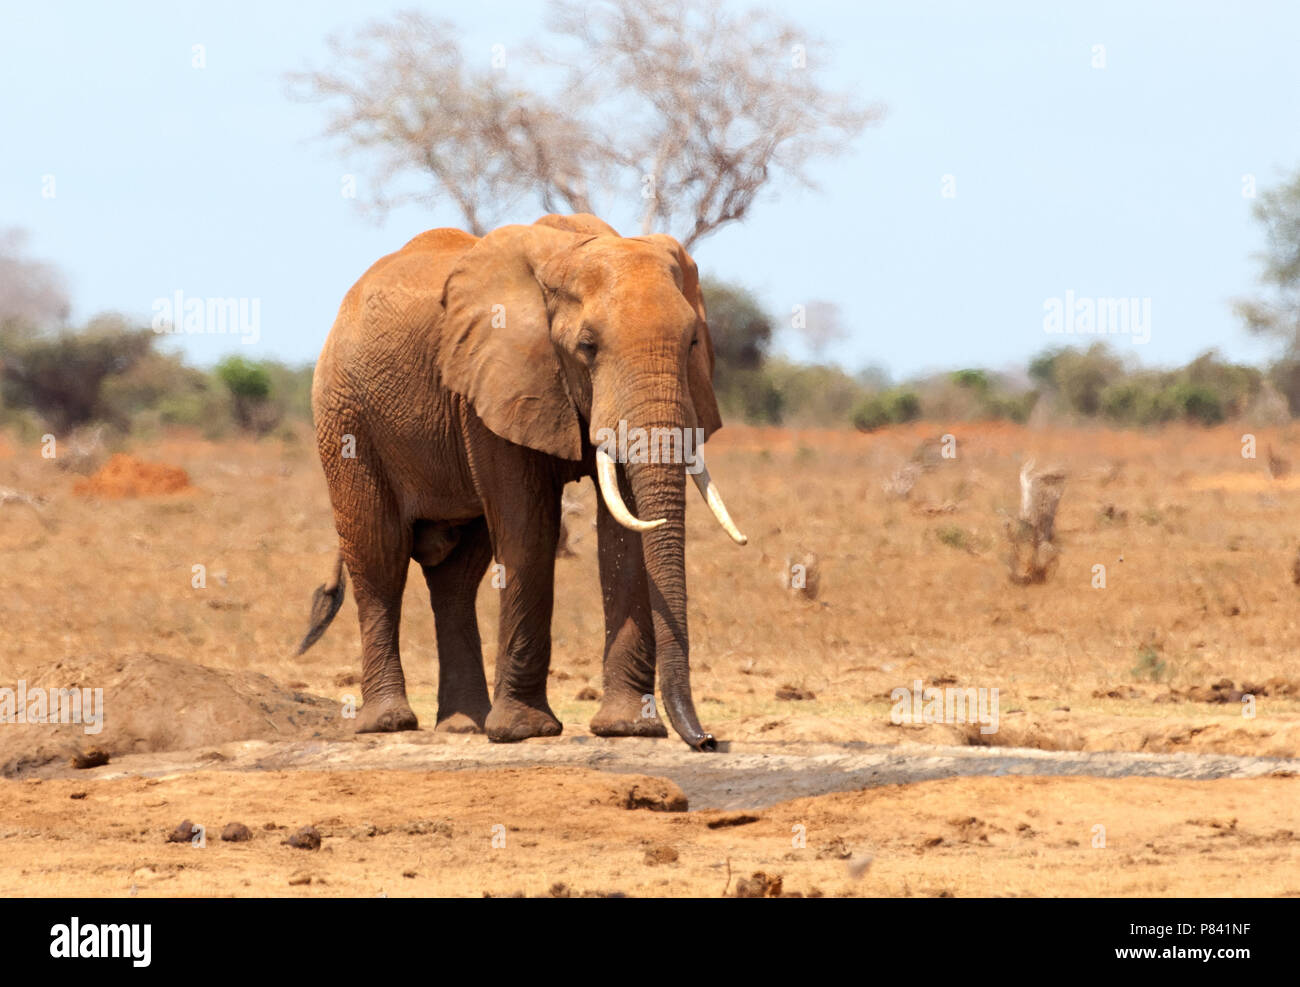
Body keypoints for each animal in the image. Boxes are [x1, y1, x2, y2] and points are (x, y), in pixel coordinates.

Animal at [297, 213, 747, 751]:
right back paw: (391, 722)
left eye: (693, 343)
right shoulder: (491, 384)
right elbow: (528, 529)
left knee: (456, 575)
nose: (708, 740)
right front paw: (525, 732)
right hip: (345, 416)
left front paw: (627, 730)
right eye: (587, 347)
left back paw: (465, 724)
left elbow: (623, 533)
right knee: (379, 555)